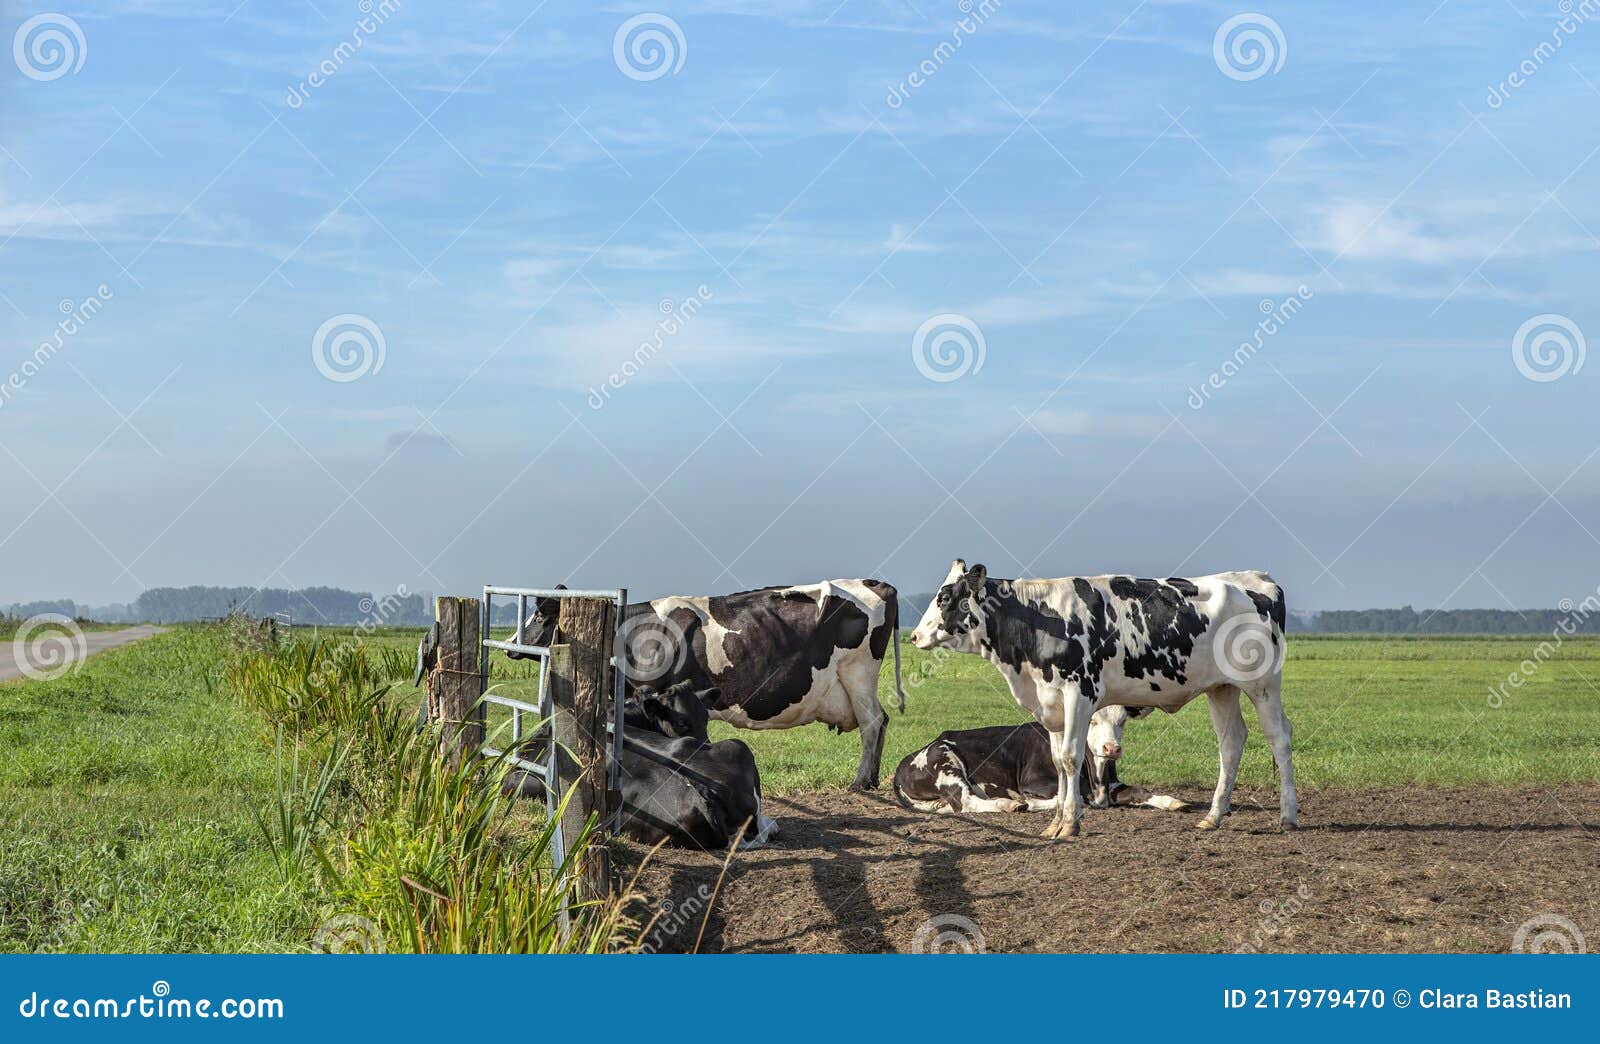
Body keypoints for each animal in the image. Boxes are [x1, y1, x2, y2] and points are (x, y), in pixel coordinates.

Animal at [505, 580, 906, 790]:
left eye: (538, 614)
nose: (509, 646)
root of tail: (877, 583)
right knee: (881, 721)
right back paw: (871, 780)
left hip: (857, 673)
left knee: (873, 723)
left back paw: (861, 782)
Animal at [892, 706, 1189, 814]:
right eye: (1091, 720)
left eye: (1122, 721)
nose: (1111, 748)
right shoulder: (1034, 782)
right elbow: (1072, 797)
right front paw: (1032, 803)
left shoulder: (1112, 784)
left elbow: (1139, 790)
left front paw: (1172, 801)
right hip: (946, 762)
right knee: (965, 801)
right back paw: (1009, 804)